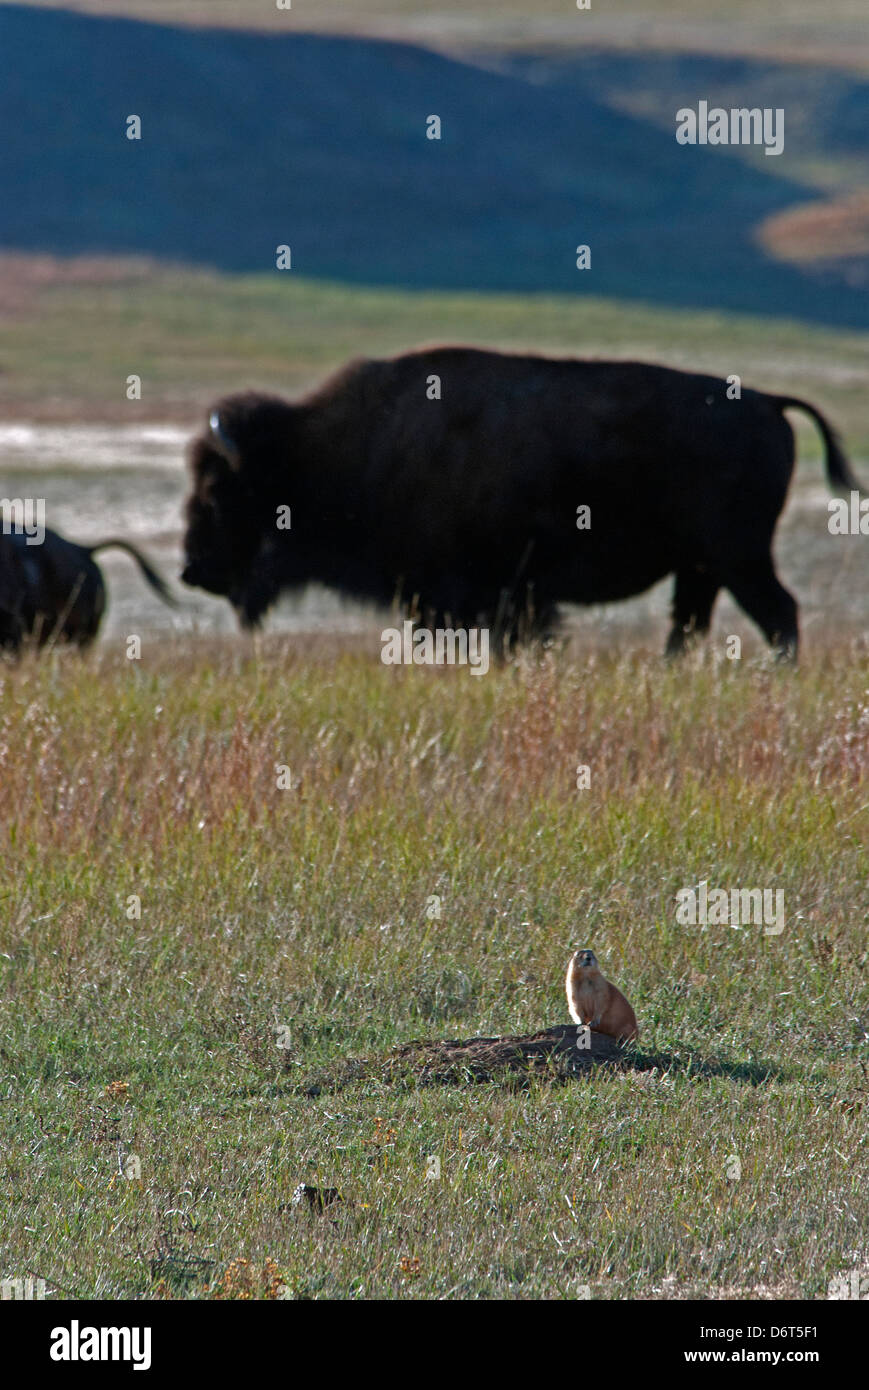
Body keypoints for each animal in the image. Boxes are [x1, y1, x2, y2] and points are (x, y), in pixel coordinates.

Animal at [180, 347, 863, 658]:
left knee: (779, 613)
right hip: (702, 568)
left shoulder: (494, 594)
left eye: (219, 492)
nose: (191, 569)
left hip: (739, 559)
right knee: (691, 627)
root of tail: (769, 401)